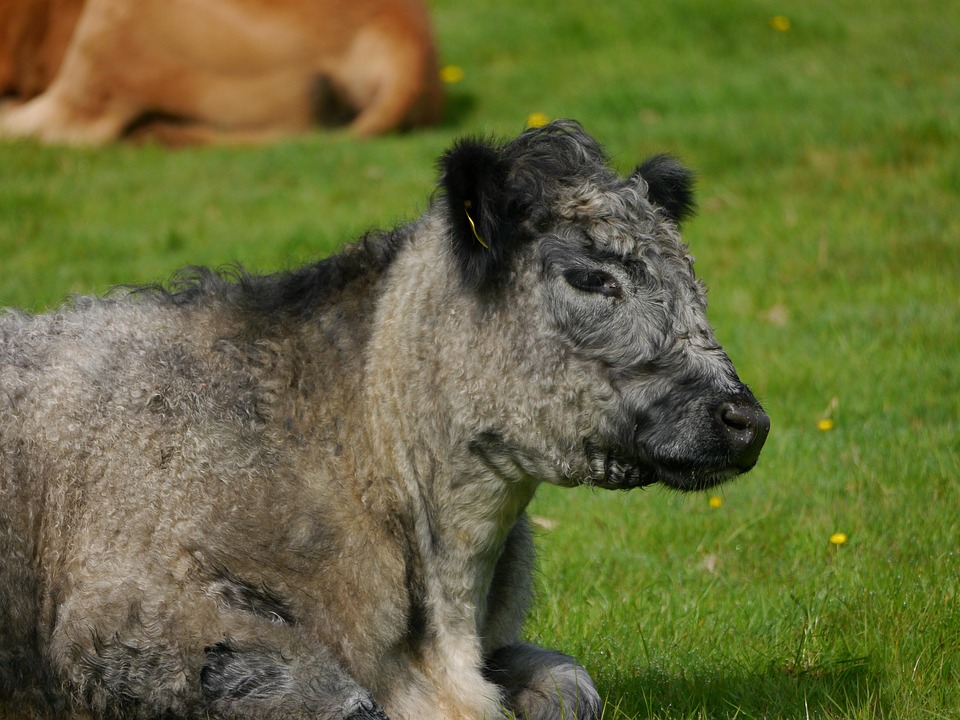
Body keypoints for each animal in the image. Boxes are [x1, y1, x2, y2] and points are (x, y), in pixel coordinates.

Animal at [0, 120, 769, 718]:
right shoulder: (125, 620)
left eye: (695, 283)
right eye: (591, 277)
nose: (747, 419)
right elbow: (342, 702)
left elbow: (573, 685)